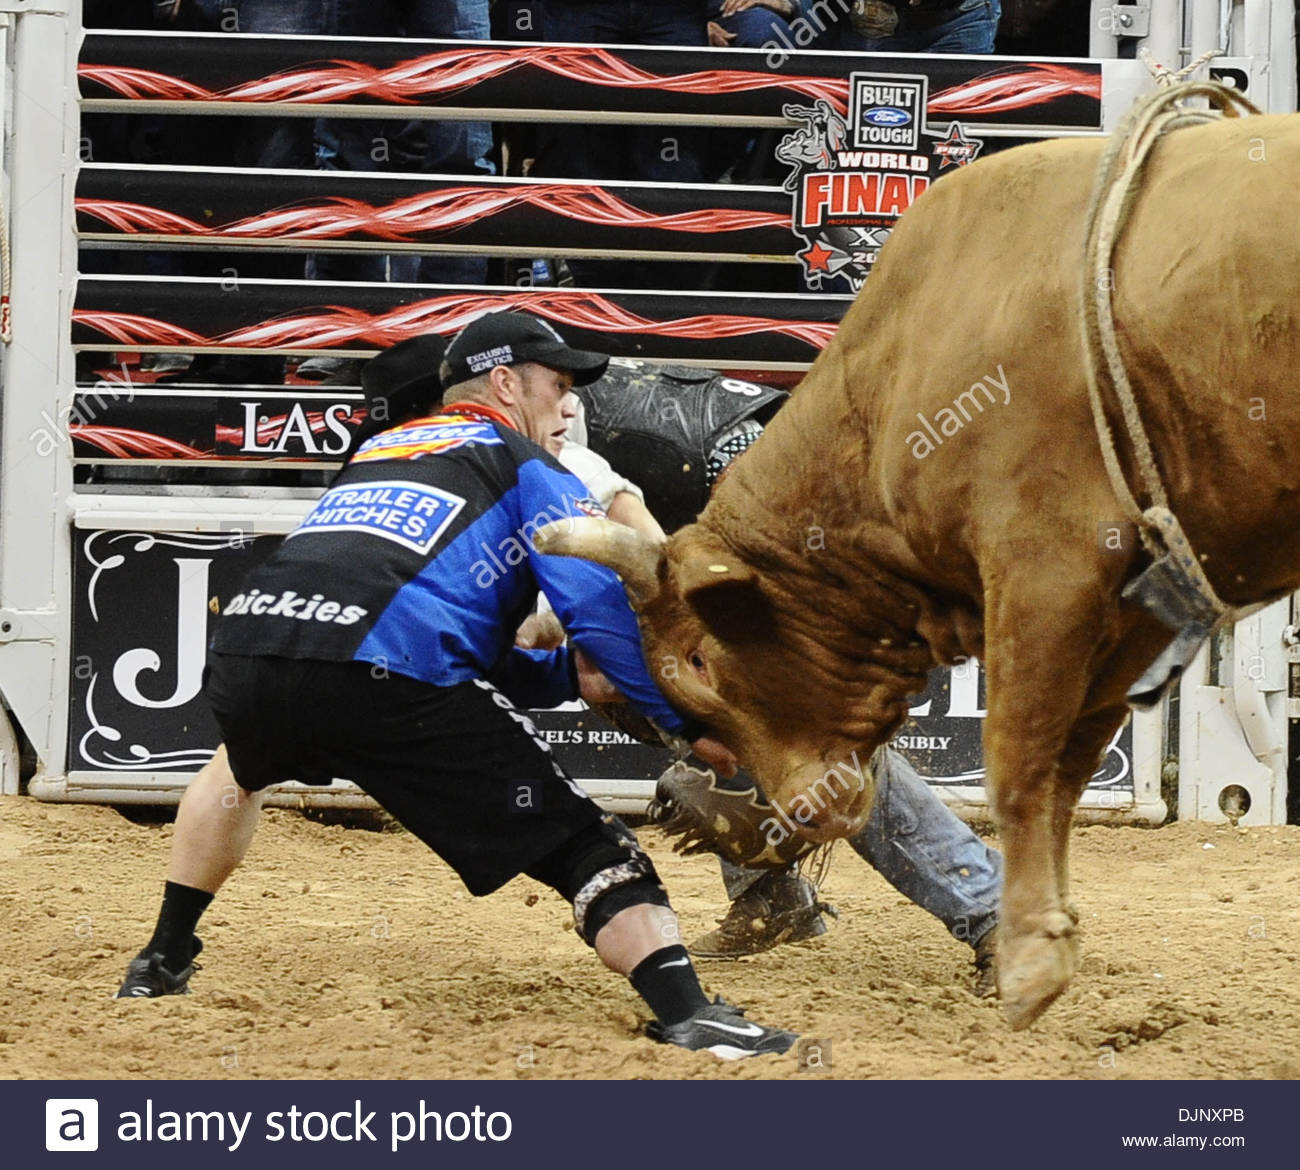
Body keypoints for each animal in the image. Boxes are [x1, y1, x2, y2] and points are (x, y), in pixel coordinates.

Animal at [535, 108, 1300, 1029]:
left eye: (699, 666)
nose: (797, 810)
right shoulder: (1133, 610)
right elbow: (1068, 764)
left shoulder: (1047, 564)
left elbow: (1019, 756)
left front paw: (1030, 958)